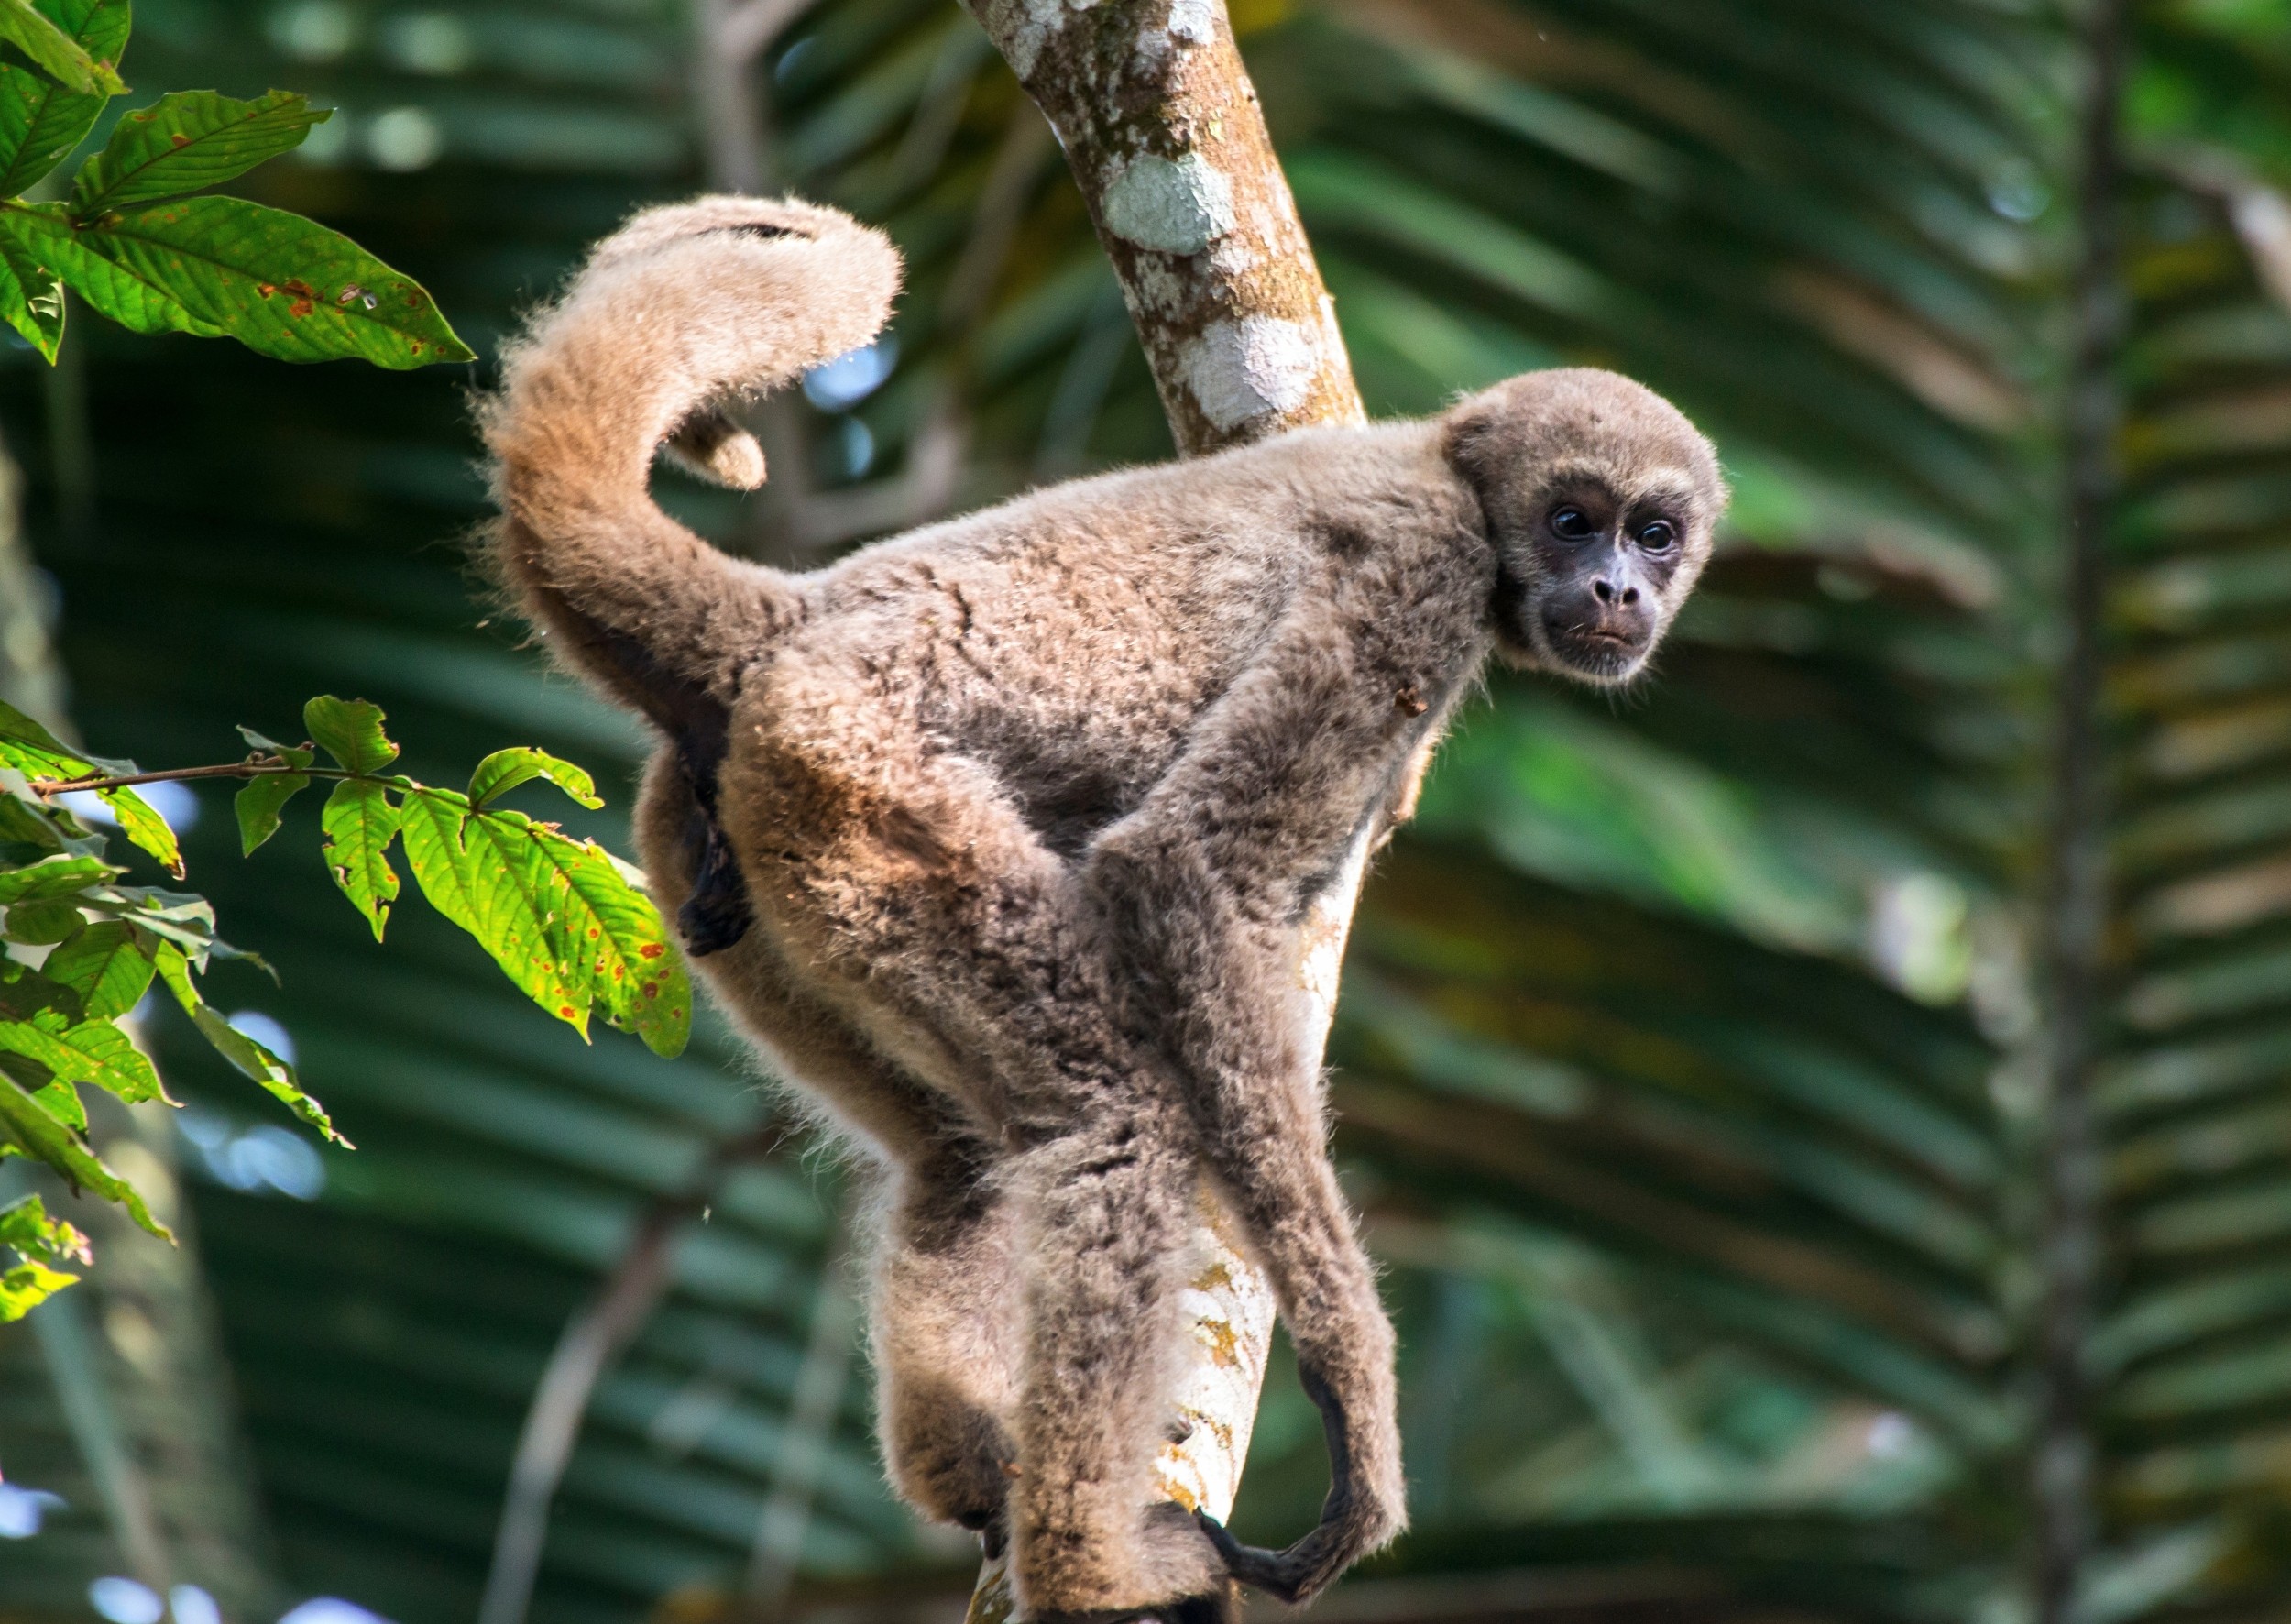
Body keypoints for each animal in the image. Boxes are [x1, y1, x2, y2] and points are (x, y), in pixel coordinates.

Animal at [480, 195, 1724, 1622]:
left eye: (1656, 533)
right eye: (1574, 520)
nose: (1623, 590)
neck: (1445, 469)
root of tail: (788, 619)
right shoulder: (1420, 578)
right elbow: (1180, 870)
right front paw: (1353, 1392)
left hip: (725, 858)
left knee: (953, 1157)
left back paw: (976, 1473)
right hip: (856, 787)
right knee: (1115, 1120)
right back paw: (1088, 1562)